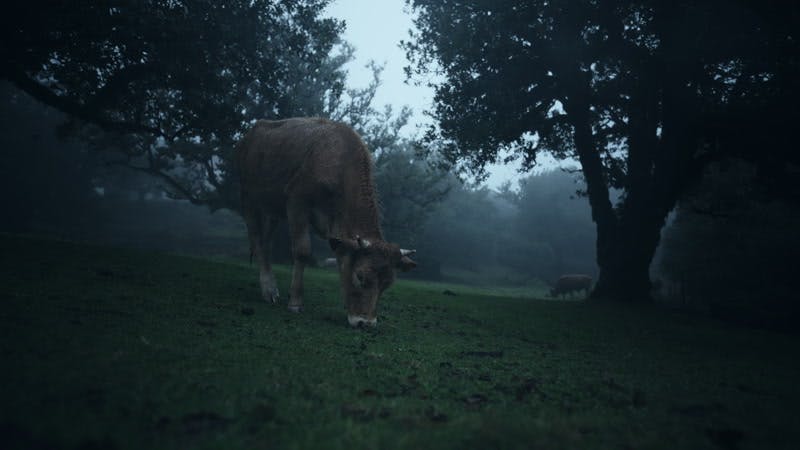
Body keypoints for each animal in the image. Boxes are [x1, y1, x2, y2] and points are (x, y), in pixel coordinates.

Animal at [236, 117, 417, 327]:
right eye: (360, 276)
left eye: (387, 284)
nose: (366, 323)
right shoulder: (297, 201)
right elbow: (302, 251)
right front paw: (295, 302)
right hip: (248, 197)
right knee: (257, 238)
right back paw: (268, 289)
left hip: (271, 207)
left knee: (266, 243)